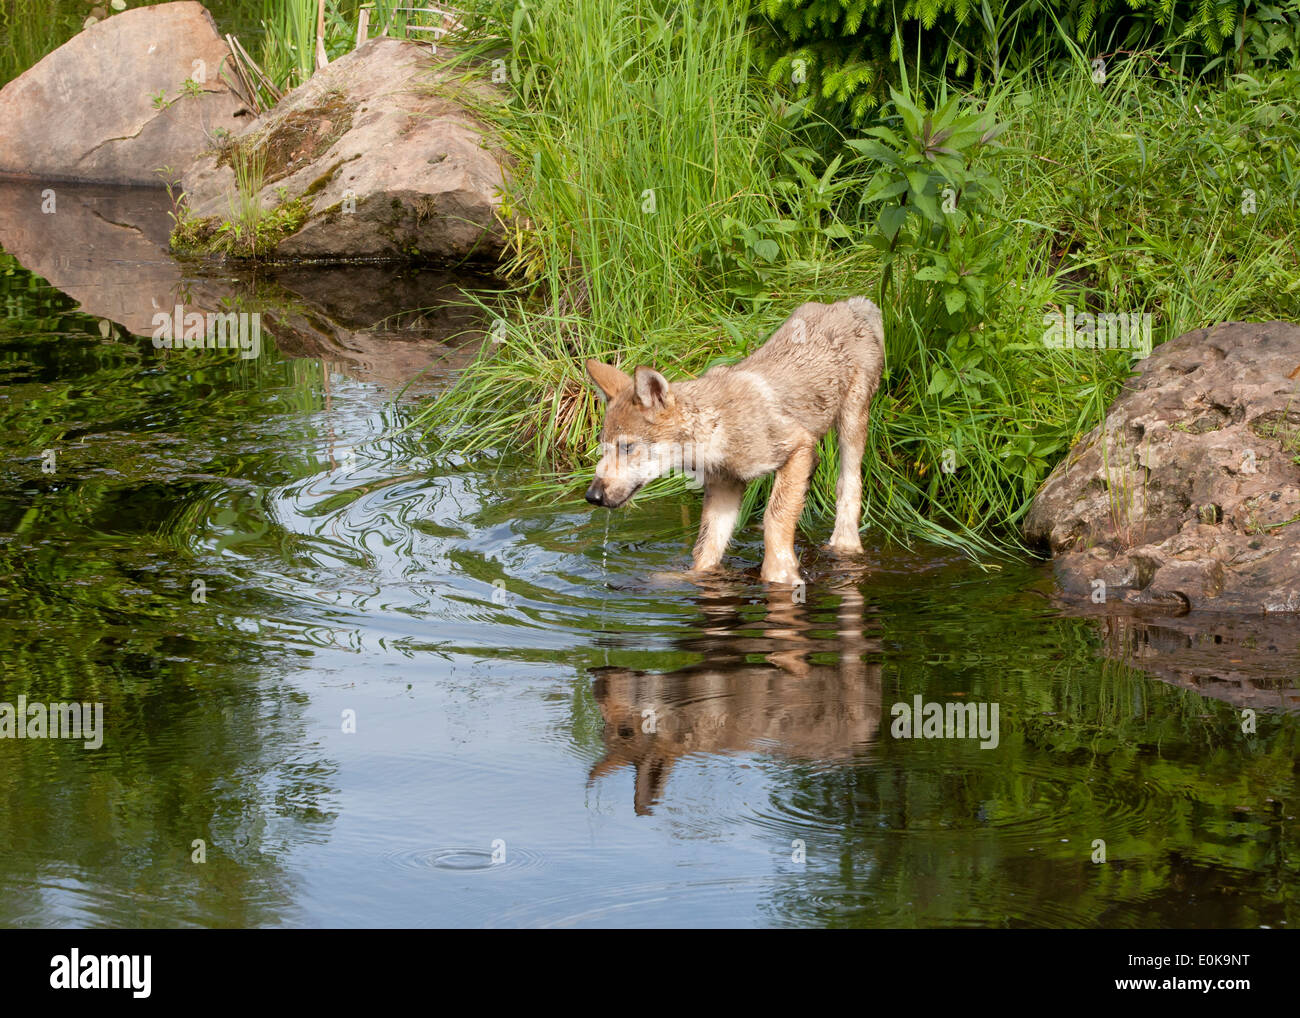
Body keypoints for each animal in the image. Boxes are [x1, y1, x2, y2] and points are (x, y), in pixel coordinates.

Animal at [584, 296, 884, 584]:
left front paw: (780, 575)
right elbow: (706, 547)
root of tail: (847, 305)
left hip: (851, 422)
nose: (592, 496)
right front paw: (688, 578)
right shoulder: (724, 489)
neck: (717, 432)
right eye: (603, 447)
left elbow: (775, 517)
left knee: (849, 484)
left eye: (627, 447)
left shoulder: (798, 445)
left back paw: (845, 545)